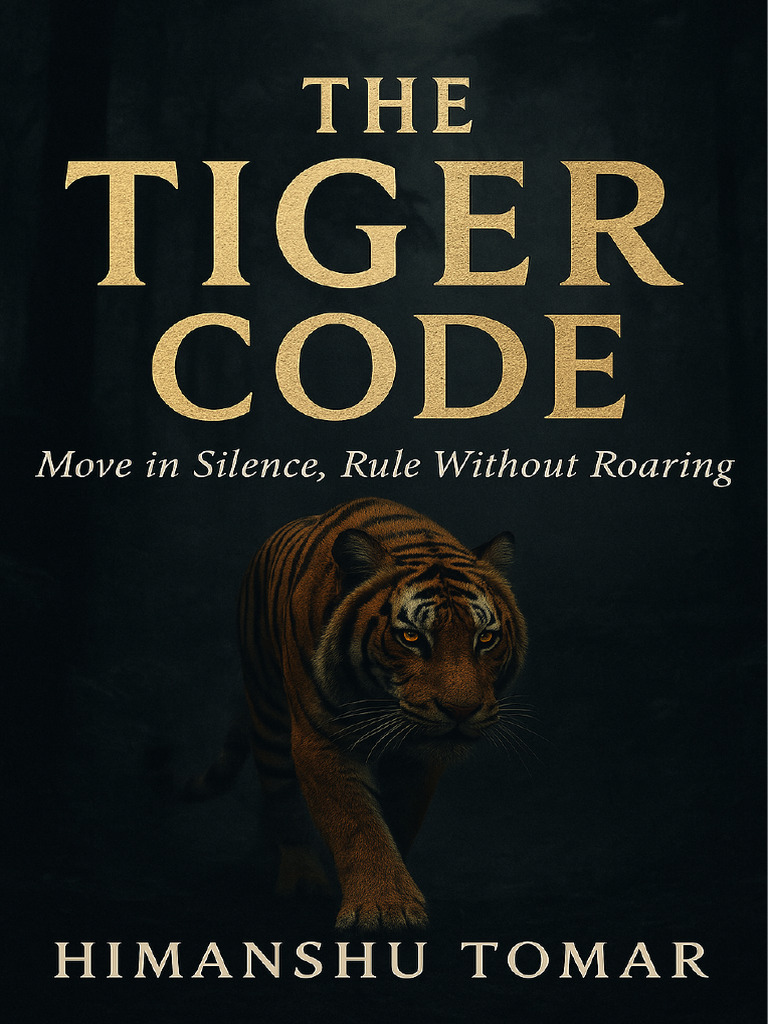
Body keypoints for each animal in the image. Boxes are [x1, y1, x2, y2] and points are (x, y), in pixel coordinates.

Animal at [212, 497, 527, 932]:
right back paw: (302, 879)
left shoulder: (418, 759)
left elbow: (398, 819)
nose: (461, 711)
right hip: (268, 713)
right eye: (411, 637)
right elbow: (357, 822)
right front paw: (384, 907)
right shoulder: (321, 741)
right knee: (284, 802)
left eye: (485, 638)